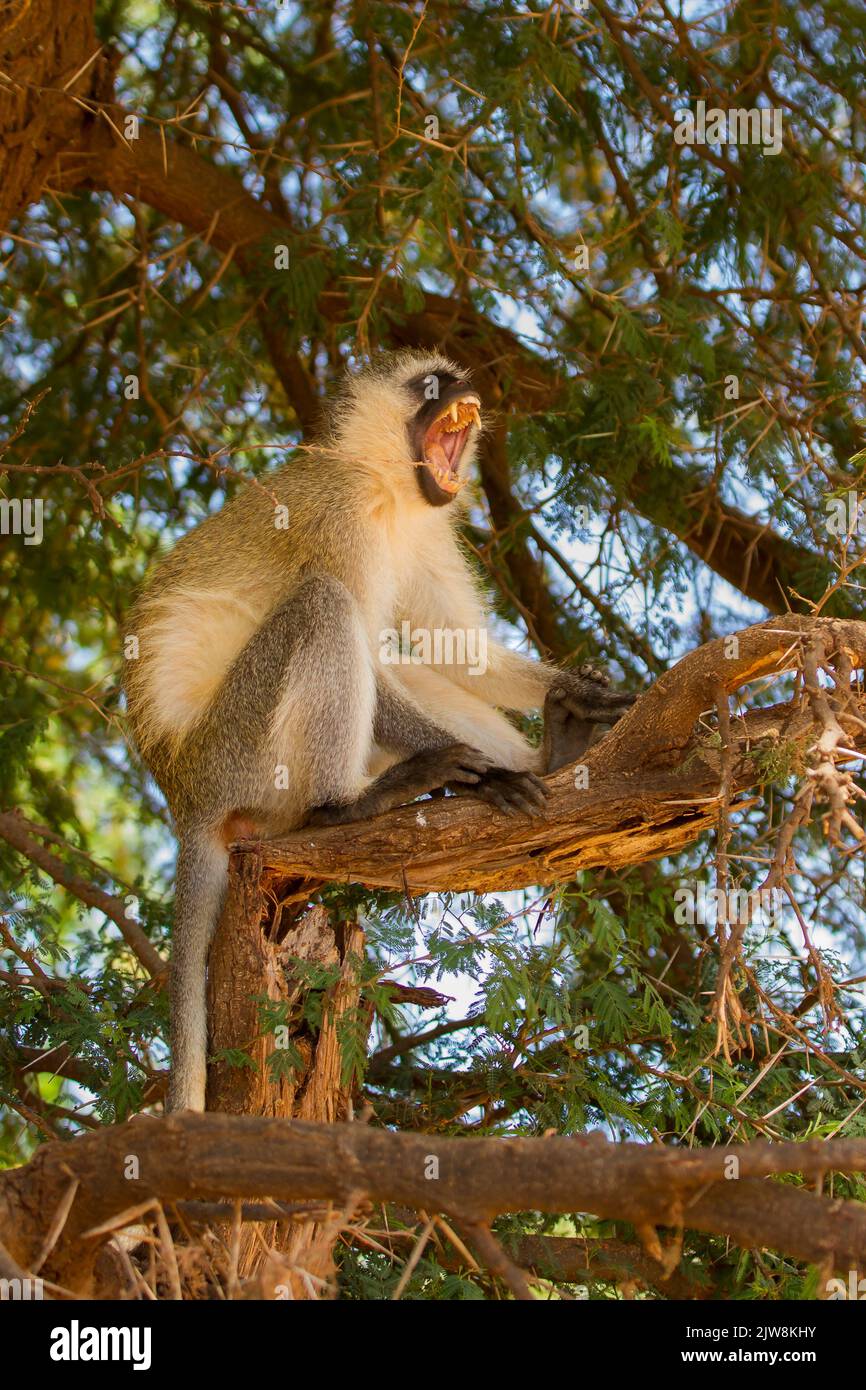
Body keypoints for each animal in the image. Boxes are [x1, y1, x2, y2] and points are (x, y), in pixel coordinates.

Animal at [123, 349, 634, 1112]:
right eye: (431, 386)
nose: (469, 391)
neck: (386, 487)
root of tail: (183, 795)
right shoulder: (339, 518)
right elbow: (365, 631)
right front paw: (490, 774)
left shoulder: (429, 531)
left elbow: (460, 651)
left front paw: (570, 698)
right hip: (240, 749)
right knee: (326, 607)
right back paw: (351, 803)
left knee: (403, 662)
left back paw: (556, 751)